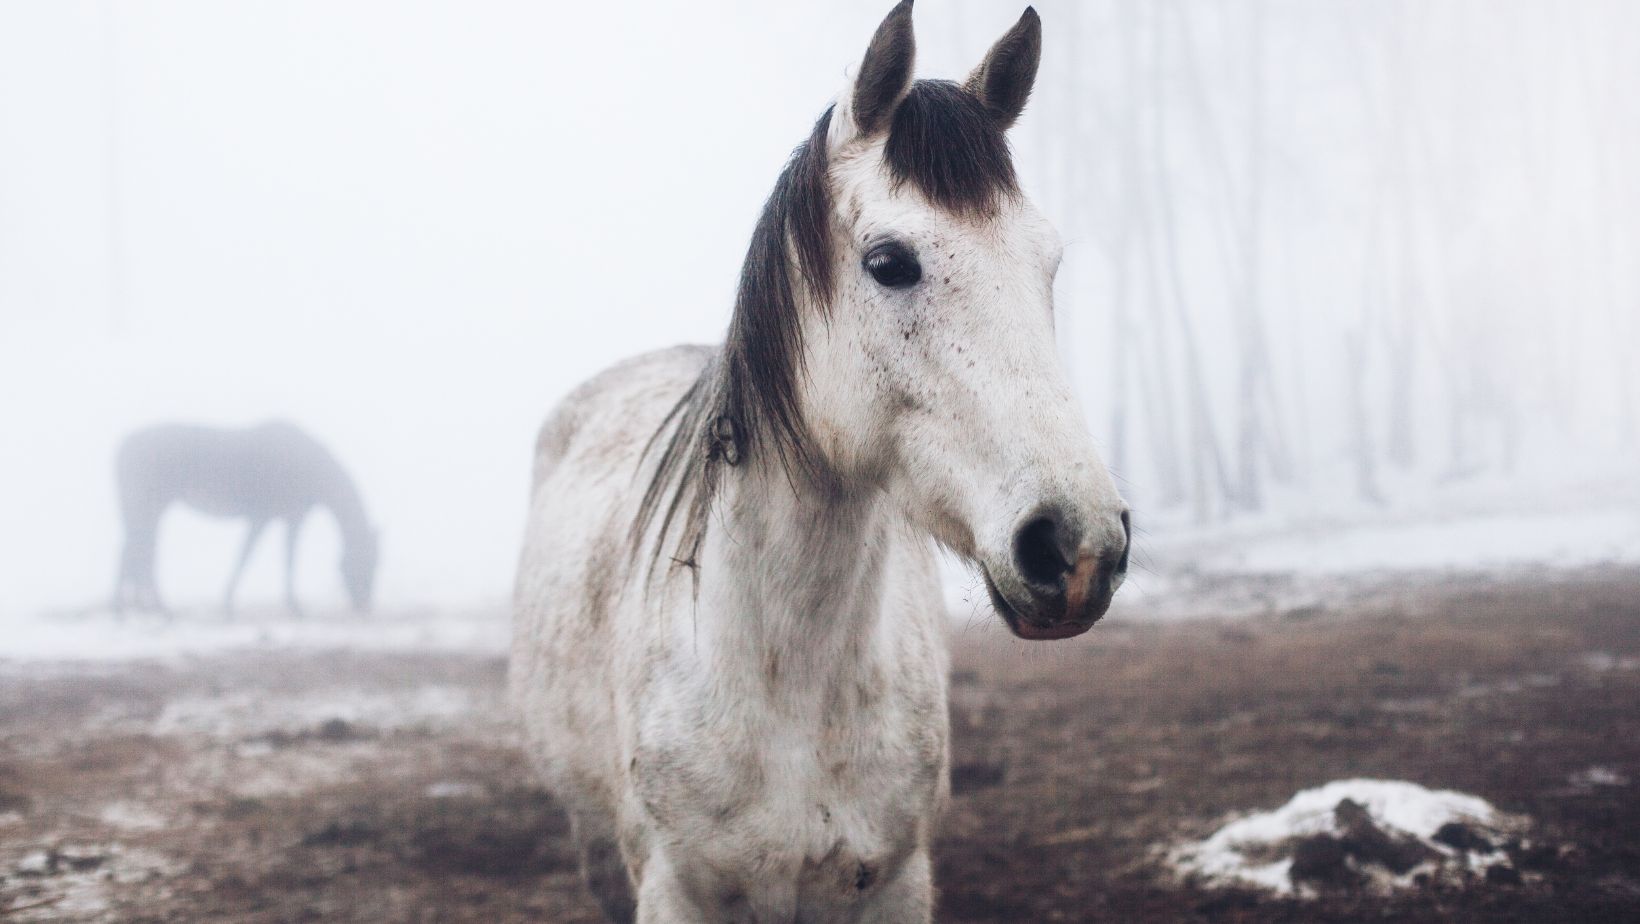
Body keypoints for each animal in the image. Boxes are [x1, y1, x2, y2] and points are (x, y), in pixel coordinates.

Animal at [112, 420, 379, 617]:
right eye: (366, 561)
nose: (365, 605)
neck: (310, 468)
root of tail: (122, 446)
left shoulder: (286, 519)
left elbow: (270, 558)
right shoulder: (270, 518)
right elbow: (255, 558)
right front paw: (291, 608)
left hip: (151, 508)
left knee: (138, 550)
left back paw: (142, 608)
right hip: (148, 505)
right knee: (138, 551)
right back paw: (139, 608)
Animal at [511, 3, 1129, 920]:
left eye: (1047, 263)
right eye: (889, 262)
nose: (1080, 546)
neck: (790, 677)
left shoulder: (895, 882)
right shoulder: (673, 889)